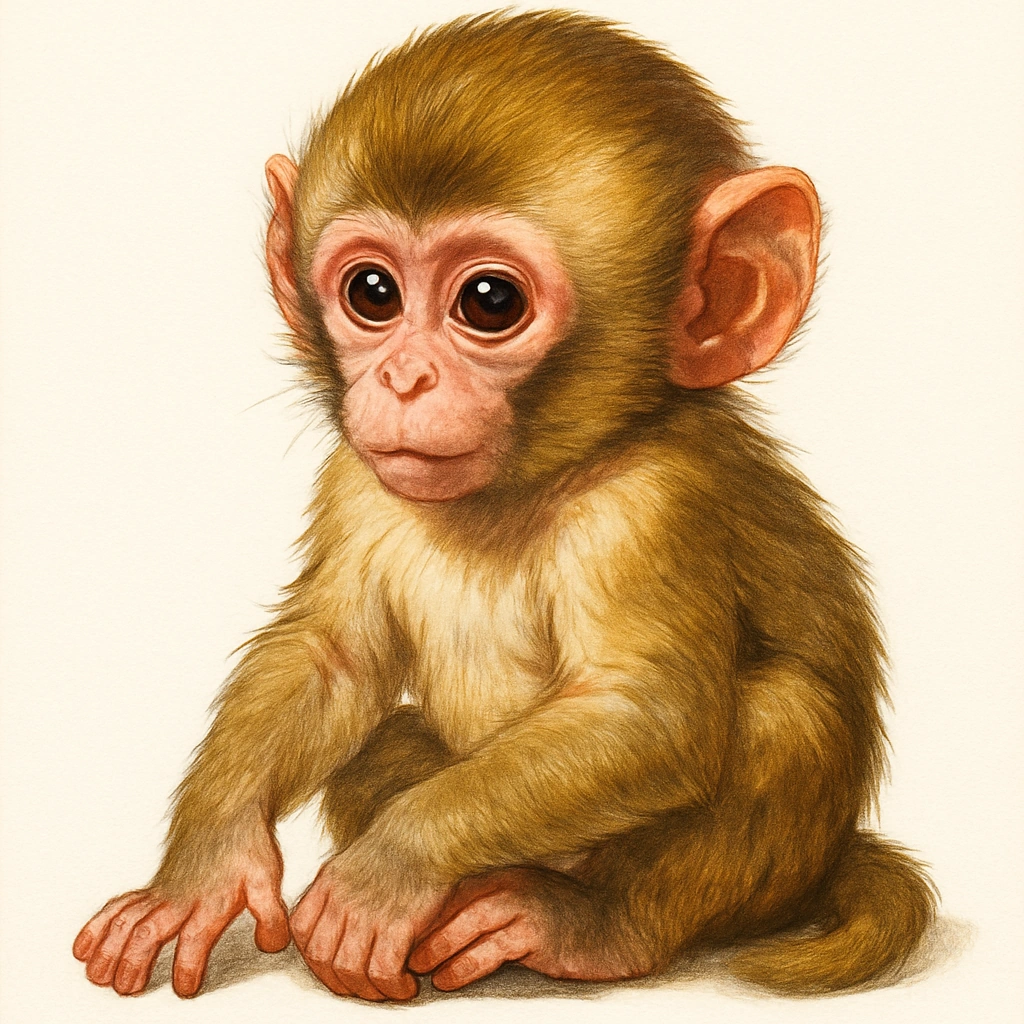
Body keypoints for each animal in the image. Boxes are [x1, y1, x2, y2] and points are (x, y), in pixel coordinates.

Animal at [73, 10, 936, 1002]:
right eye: (372, 292)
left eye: (489, 301)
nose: (404, 379)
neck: (514, 490)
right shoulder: (357, 480)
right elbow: (329, 659)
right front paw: (204, 863)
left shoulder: (652, 507)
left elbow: (645, 713)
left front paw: (389, 870)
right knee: (384, 751)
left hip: (775, 871)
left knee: (783, 716)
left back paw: (590, 923)